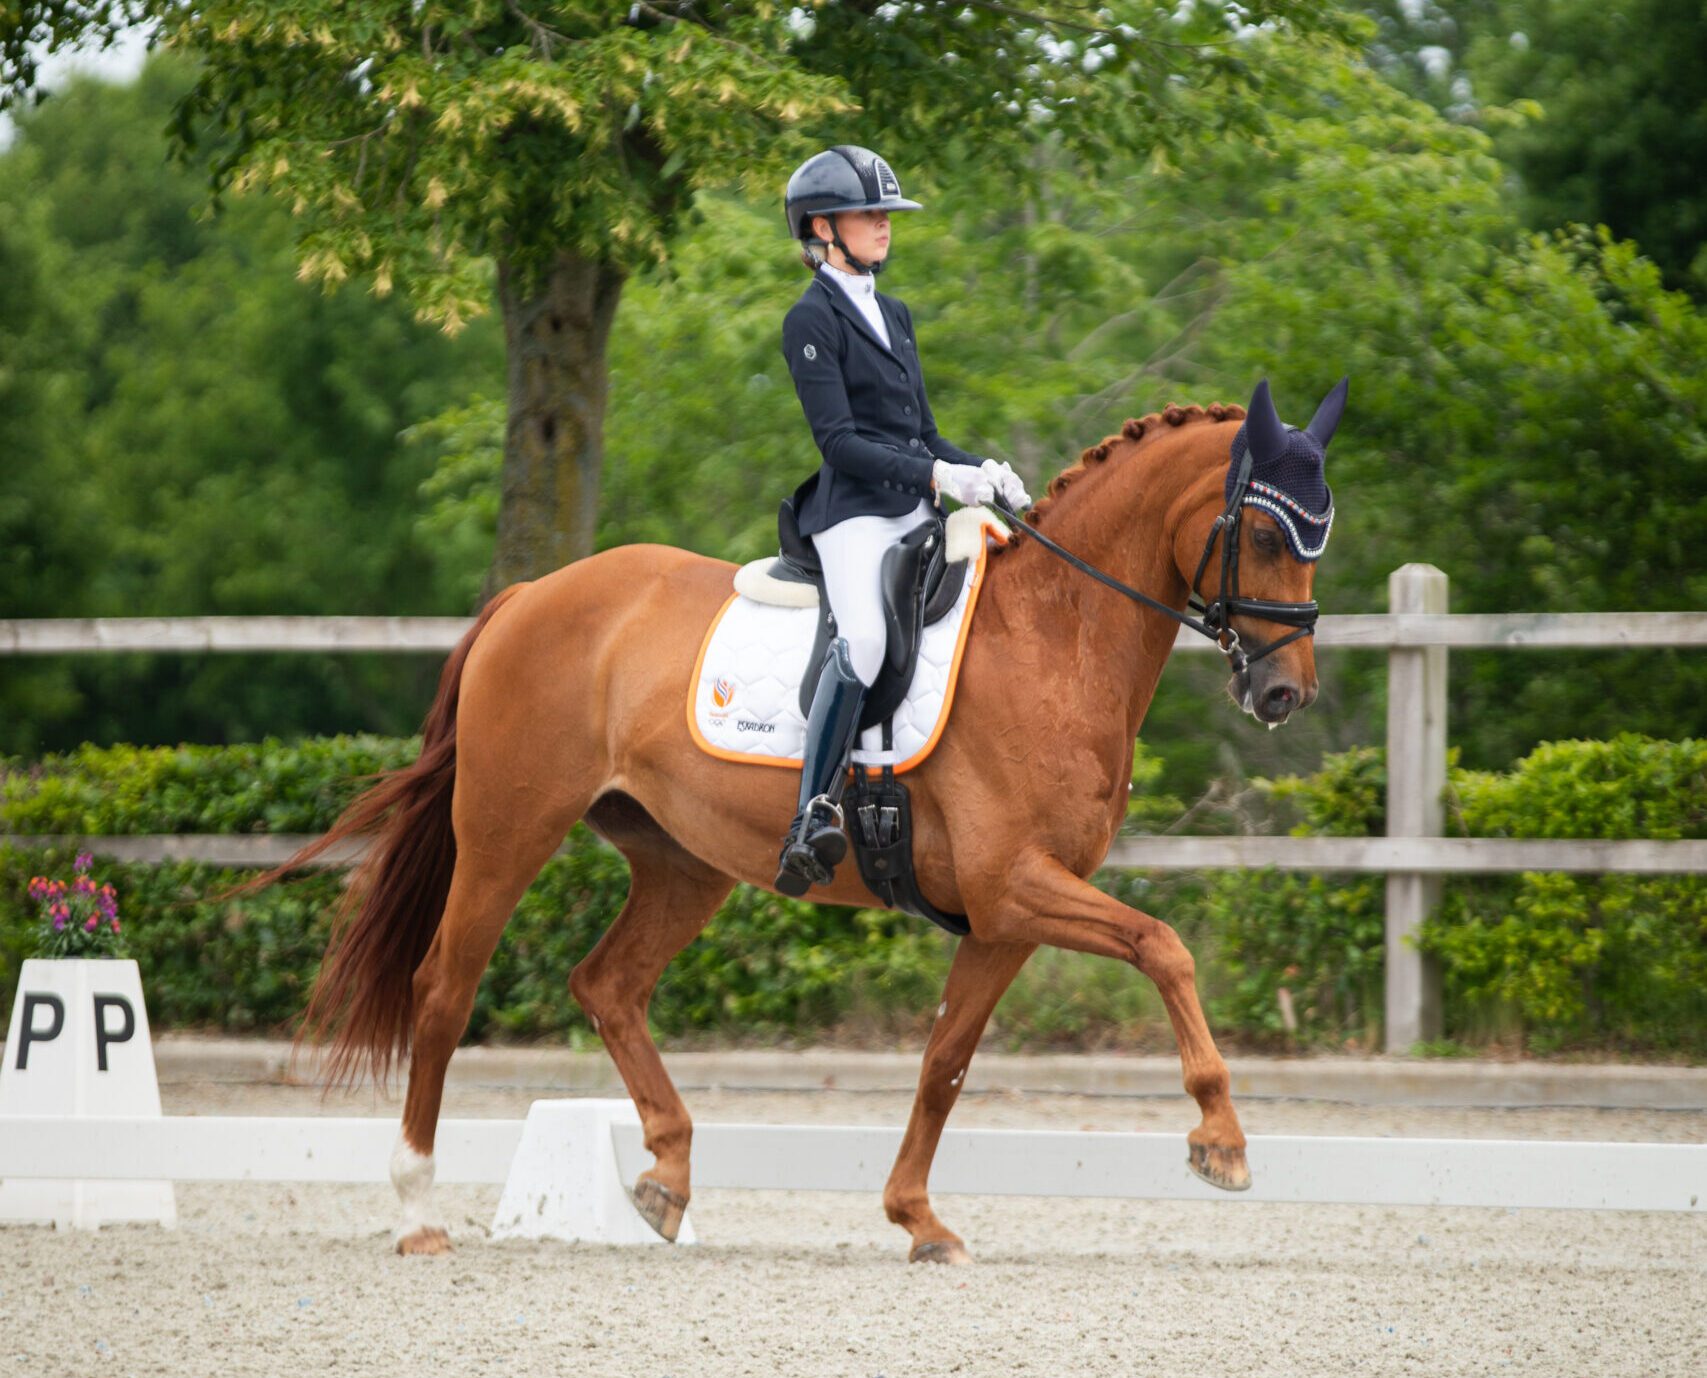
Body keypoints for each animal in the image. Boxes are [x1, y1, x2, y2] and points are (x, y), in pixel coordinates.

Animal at [254, 382, 1337, 1262]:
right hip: (507, 830)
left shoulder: (1002, 917)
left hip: (683, 863)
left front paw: (918, 1220)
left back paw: (665, 1180)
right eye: (1268, 536)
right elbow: (1165, 947)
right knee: (444, 990)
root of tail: (531, 594)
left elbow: (944, 1062)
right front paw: (1221, 1141)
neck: (1053, 635)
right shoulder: (1015, 885)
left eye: (1319, 538)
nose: (1284, 692)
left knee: (606, 985)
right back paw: (417, 1210)